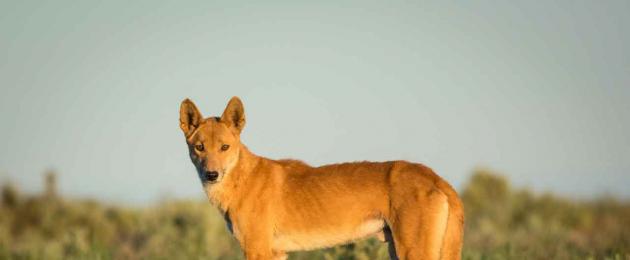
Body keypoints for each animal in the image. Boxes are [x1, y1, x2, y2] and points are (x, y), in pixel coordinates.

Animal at [180, 96, 466, 258]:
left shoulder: (257, 249)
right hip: (396, 249)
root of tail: (436, 177)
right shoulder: (277, 252)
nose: (212, 174)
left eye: (224, 147)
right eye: (200, 147)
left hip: (412, 251)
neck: (240, 180)